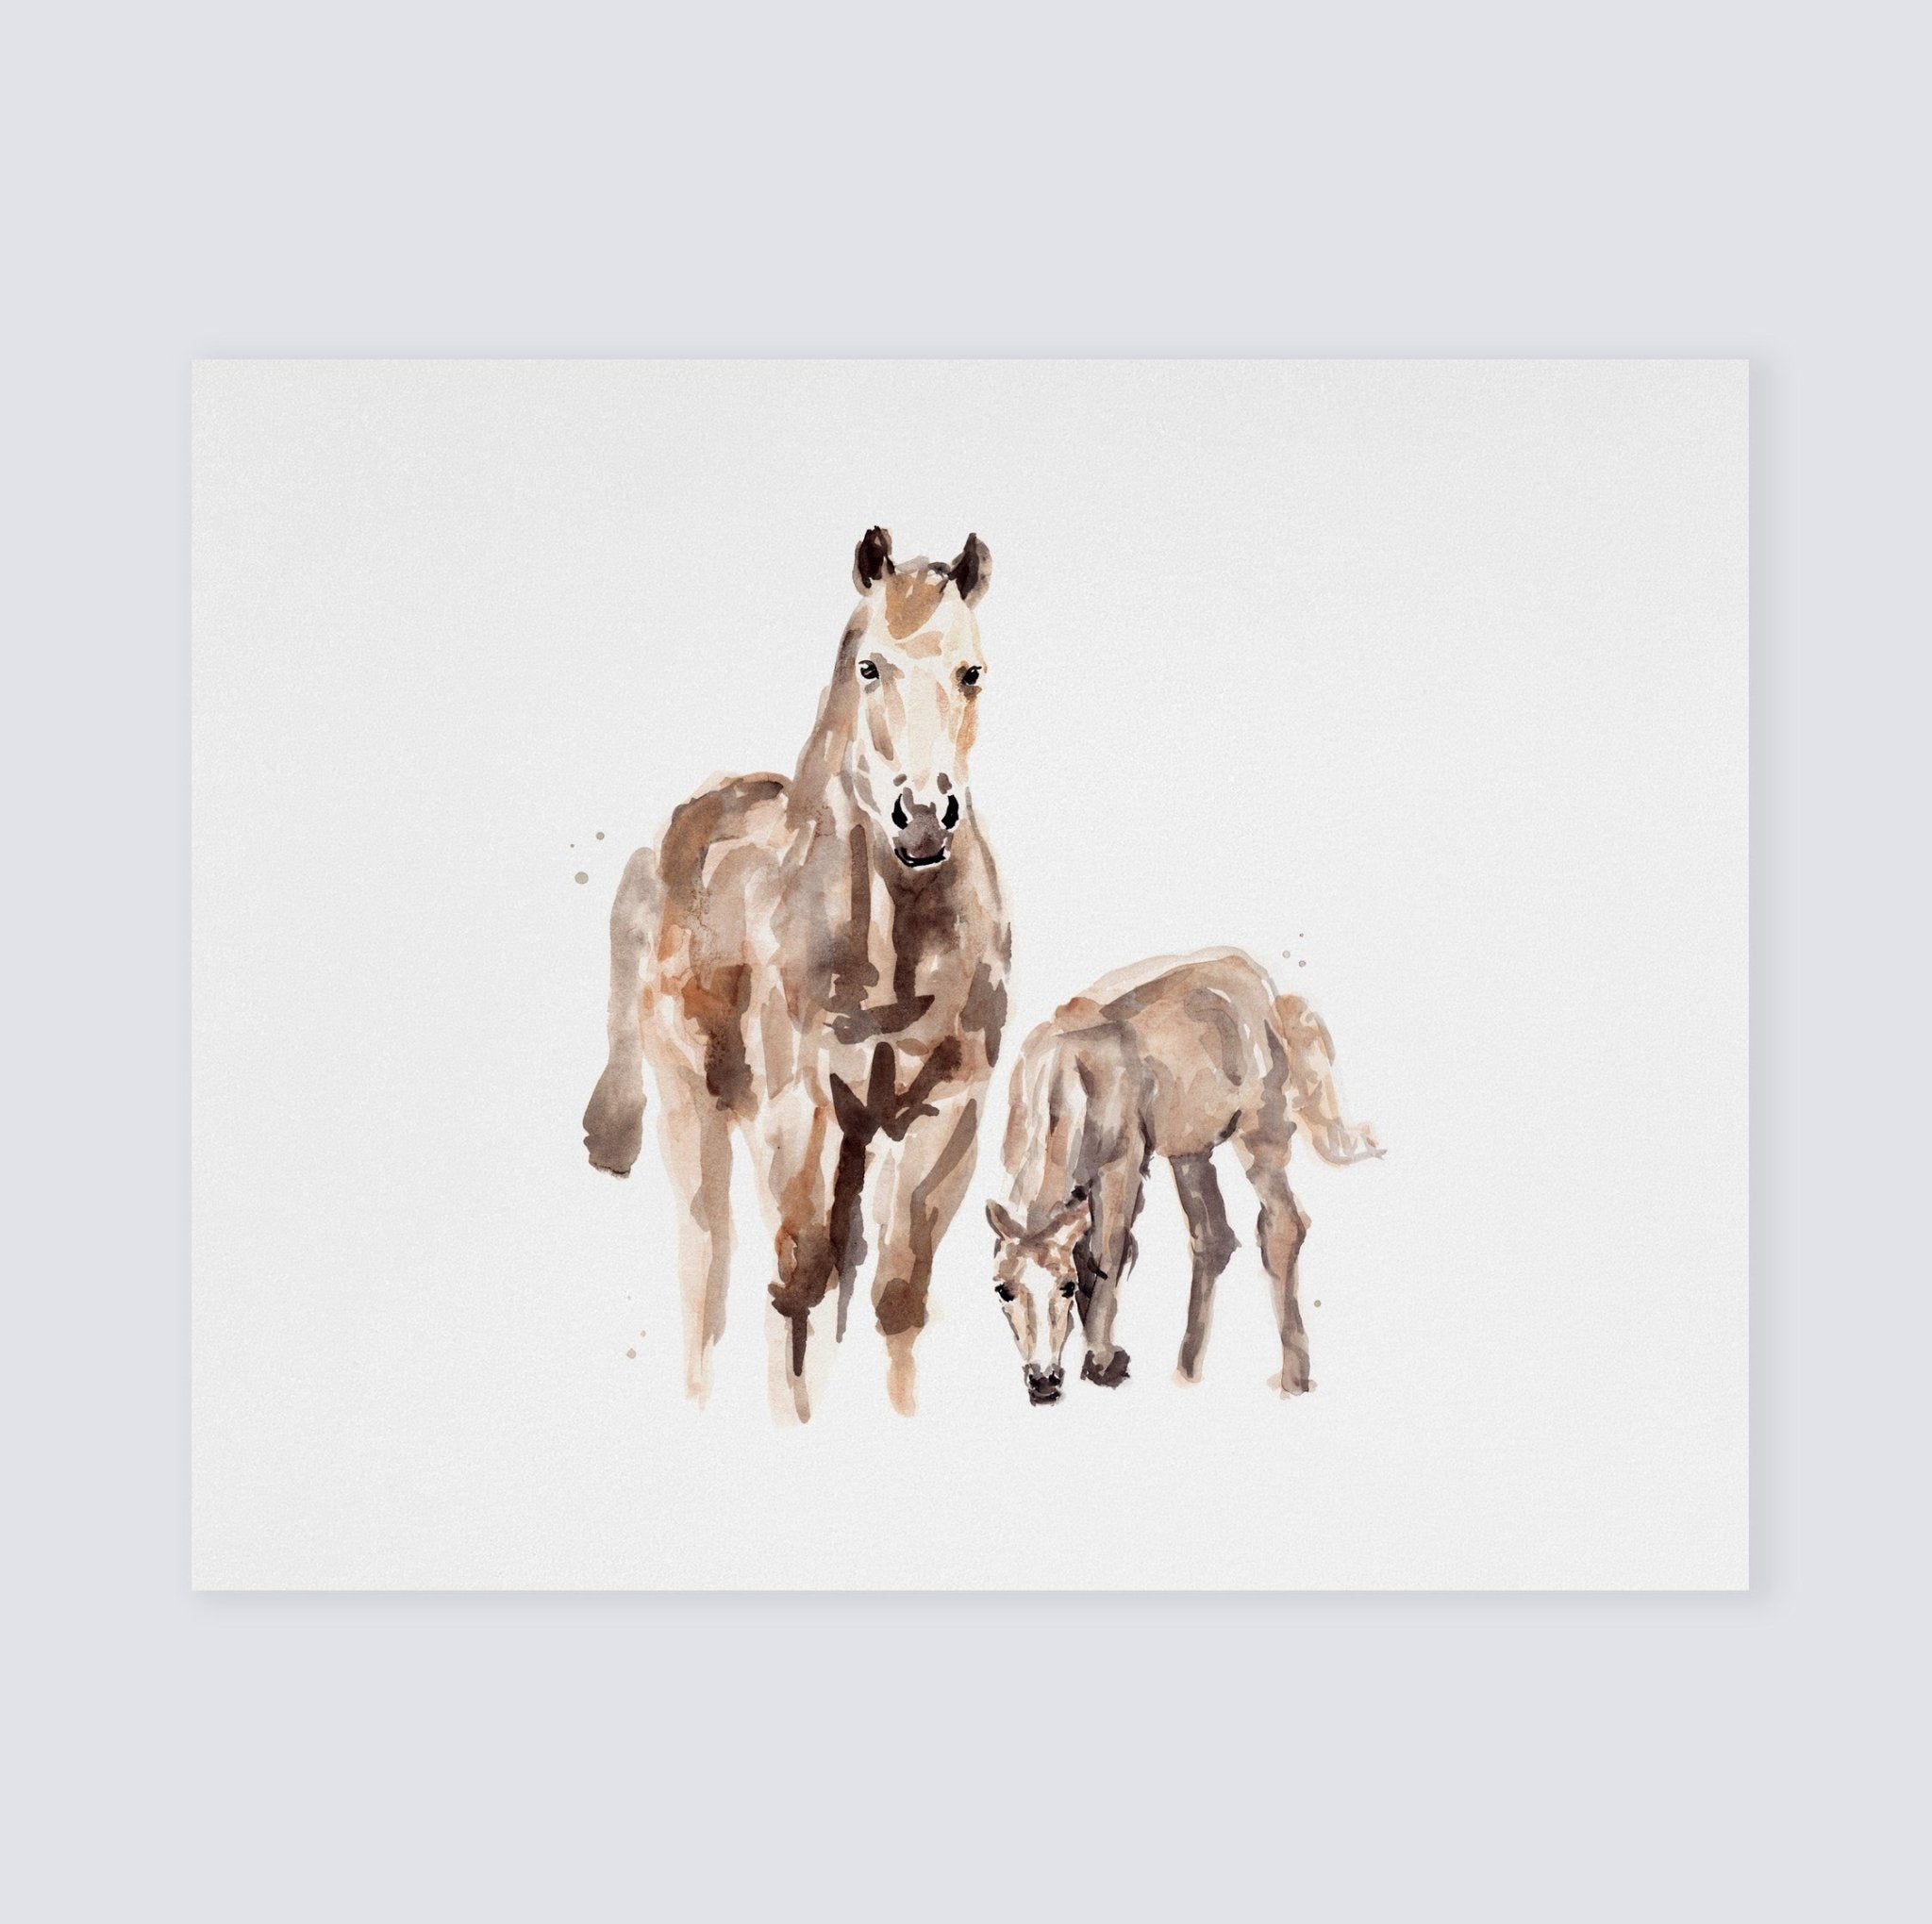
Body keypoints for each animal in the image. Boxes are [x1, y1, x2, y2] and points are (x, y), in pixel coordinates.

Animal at [583, 528, 1010, 1421]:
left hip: (853, 1138)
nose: (924, 820)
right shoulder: (797, 1109)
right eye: (869, 667)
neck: (893, 953)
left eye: (972, 671)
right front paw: (795, 1422)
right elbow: (796, 1284)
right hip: (694, 1105)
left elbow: (896, 1294)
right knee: (708, 1265)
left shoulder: (949, 1112)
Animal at [985, 949, 1382, 1405]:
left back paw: (1294, 1380)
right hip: (1190, 1150)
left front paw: (1102, 1360)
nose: (1044, 1382)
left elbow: (1107, 1254)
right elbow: (1090, 1254)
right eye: (1002, 1289)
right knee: (1213, 1239)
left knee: (1281, 1227)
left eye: (1064, 1287)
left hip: (1261, 1129)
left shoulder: (1122, 1165)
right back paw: (1187, 1372)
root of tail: (1260, 983)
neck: (1066, 1078)